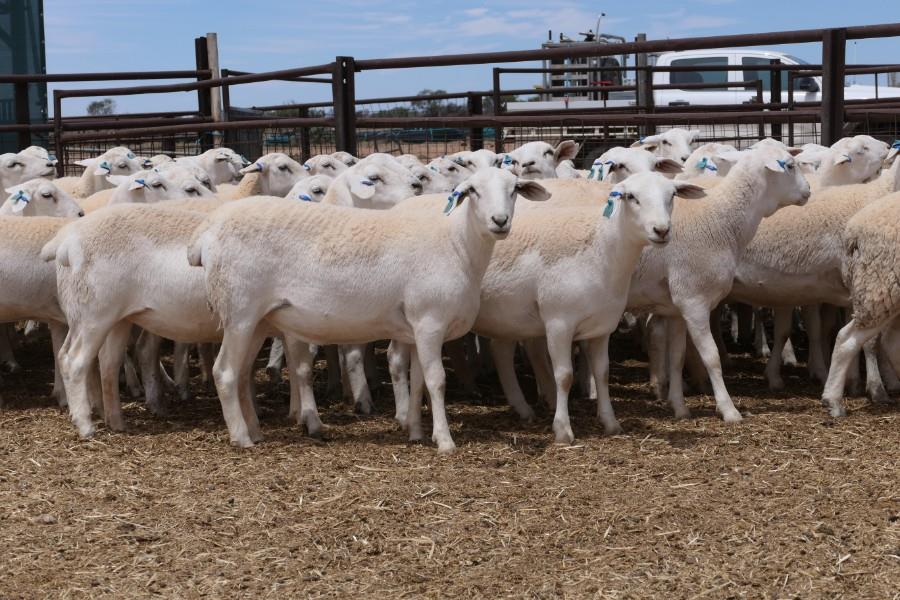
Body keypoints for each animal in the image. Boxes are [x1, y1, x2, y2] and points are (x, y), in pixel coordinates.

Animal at [187, 168, 550, 451]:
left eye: (515, 189)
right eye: (473, 190)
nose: (500, 221)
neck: (456, 245)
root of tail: (207, 233)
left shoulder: (416, 329)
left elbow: (417, 380)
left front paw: (416, 432)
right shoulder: (430, 322)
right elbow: (436, 381)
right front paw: (445, 441)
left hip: (257, 320)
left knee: (242, 373)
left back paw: (255, 431)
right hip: (239, 312)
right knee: (224, 372)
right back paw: (241, 438)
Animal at [820, 193, 900, 417]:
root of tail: (853, 230)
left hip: (885, 295)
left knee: (890, 341)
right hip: (879, 289)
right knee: (846, 339)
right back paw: (833, 401)